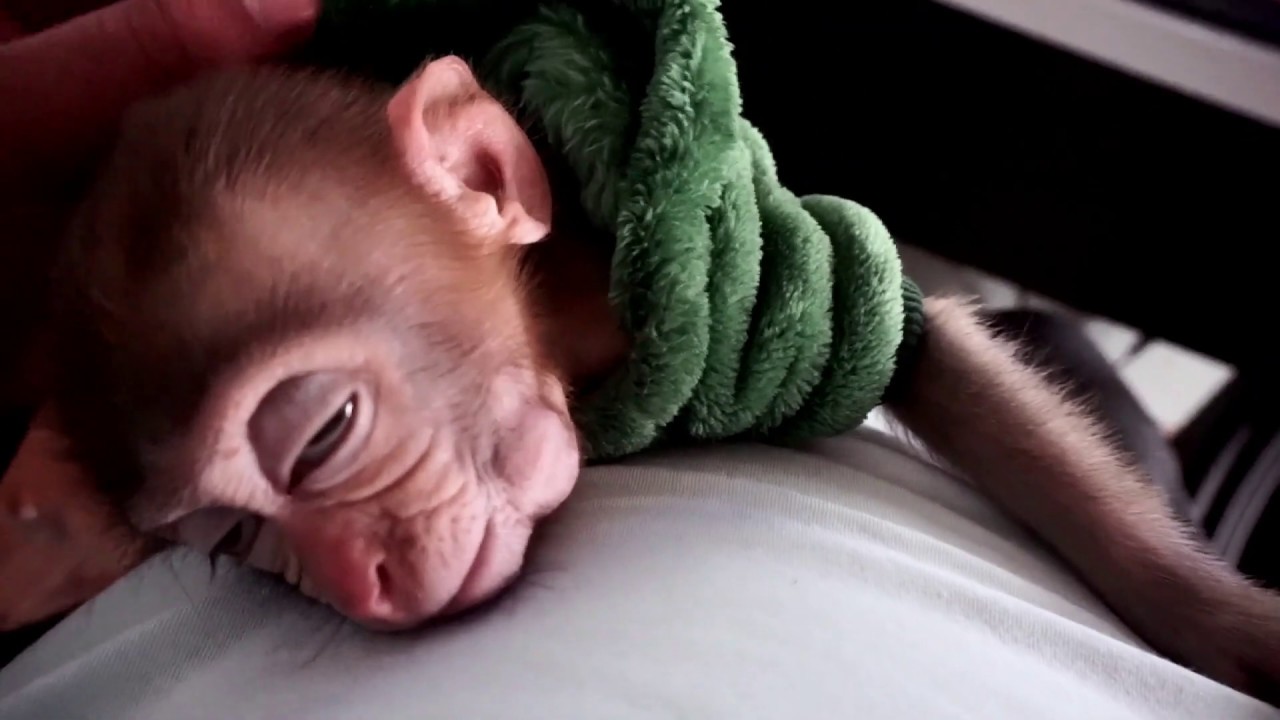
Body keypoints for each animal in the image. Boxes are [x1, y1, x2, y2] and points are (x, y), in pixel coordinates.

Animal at [0, 55, 1276, 703]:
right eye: (237, 541)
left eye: (325, 434)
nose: (361, 578)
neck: (560, 327)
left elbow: (917, 341)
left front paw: (1224, 628)